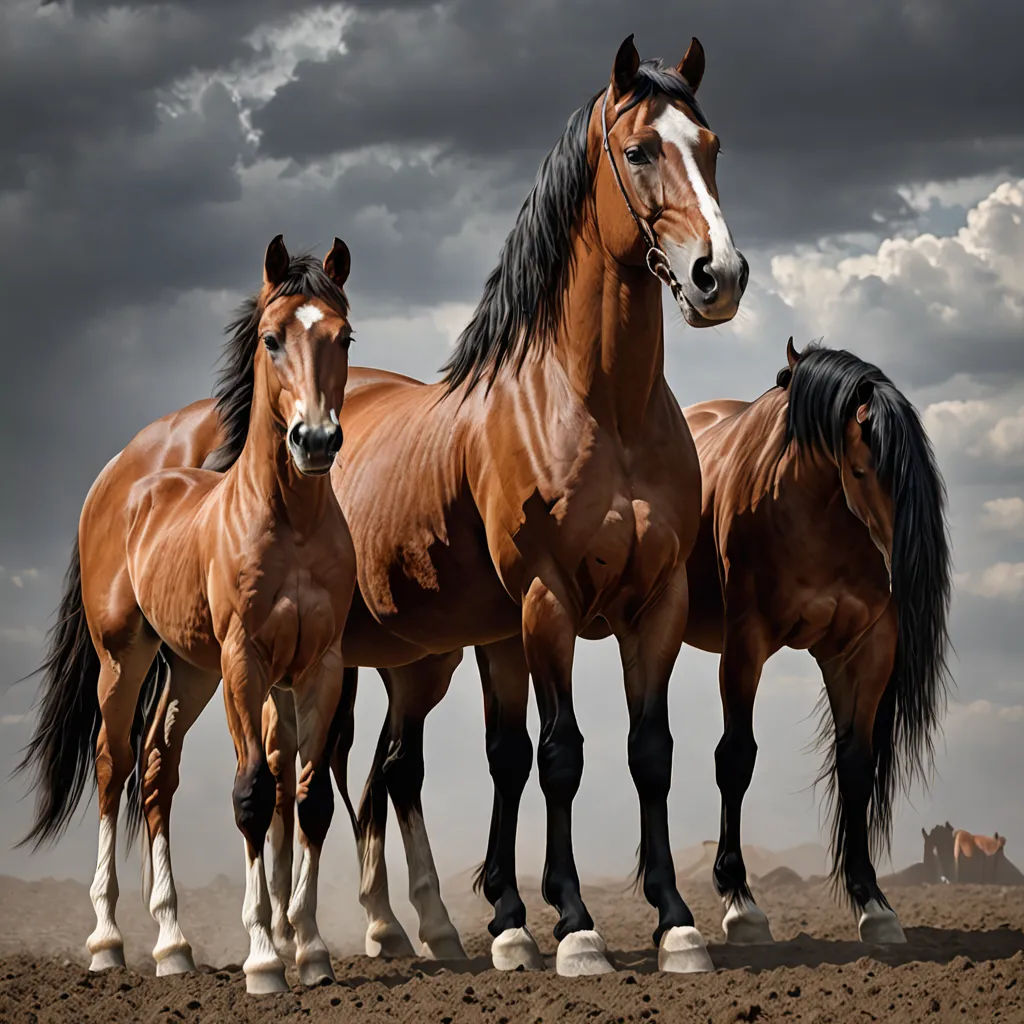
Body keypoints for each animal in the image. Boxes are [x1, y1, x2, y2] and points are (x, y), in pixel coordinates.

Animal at [16, 236, 357, 995]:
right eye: (271, 339)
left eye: (345, 336)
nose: (316, 441)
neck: (290, 524)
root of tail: (117, 484)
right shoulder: (245, 662)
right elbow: (253, 793)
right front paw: (264, 958)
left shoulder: (320, 666)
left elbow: (311, 799)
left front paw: (313, 950)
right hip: (126, 660)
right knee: (112, 763)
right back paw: (108, 941)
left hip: (190, 672)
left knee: (155, 768)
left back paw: (173, 944)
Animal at [125, 33, 749, 976]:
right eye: (641, 150)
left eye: (711, 147)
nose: (720, 276)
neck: (599, 405)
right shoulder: (543, 604)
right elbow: (556, 755)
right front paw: (572, 926)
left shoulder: (652, 603)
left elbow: (642, 752)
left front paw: (668, 920)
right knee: (273, 774)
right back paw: (241, 937)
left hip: (401, 660)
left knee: (375, 772)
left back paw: (383, 927)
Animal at [318, 339, 949, 952]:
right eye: (861, 468)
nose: (897, 564)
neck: (809, 515)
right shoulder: (746, 643)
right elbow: (735, 758)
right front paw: (739, 904)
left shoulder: (864, 650)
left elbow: (855, 765)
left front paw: (872, 903)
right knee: (432, 766)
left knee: (407, 771)